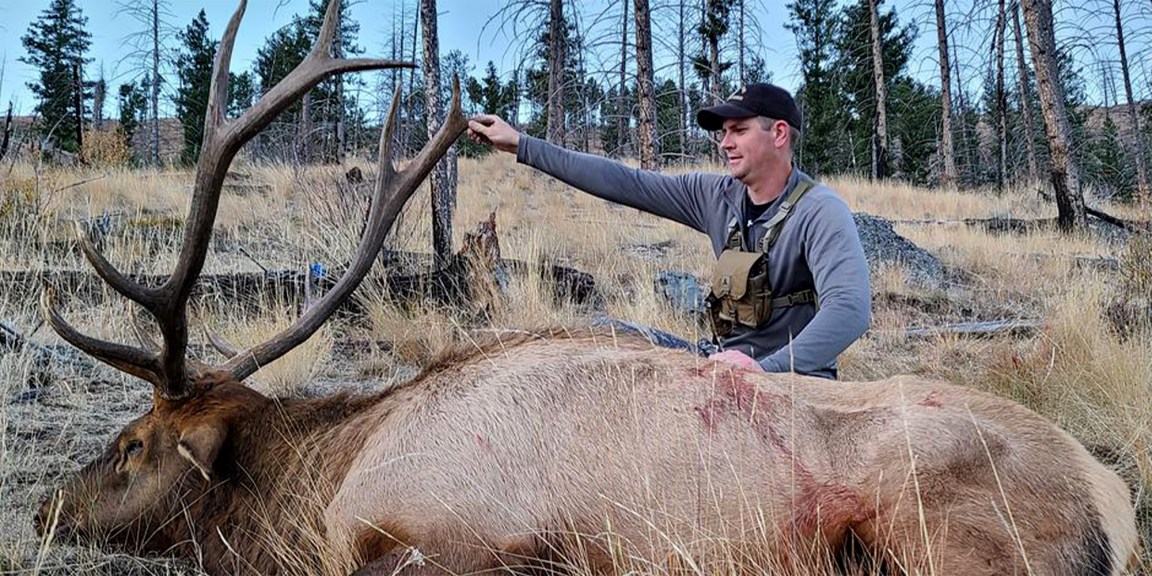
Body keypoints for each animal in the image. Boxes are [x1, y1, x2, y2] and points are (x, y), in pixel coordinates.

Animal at [32, 1, 1139, 574]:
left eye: (134, 445)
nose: (44, 503)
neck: (325, 484)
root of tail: (1114, 500)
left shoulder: (464, 541)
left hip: (940, 539)